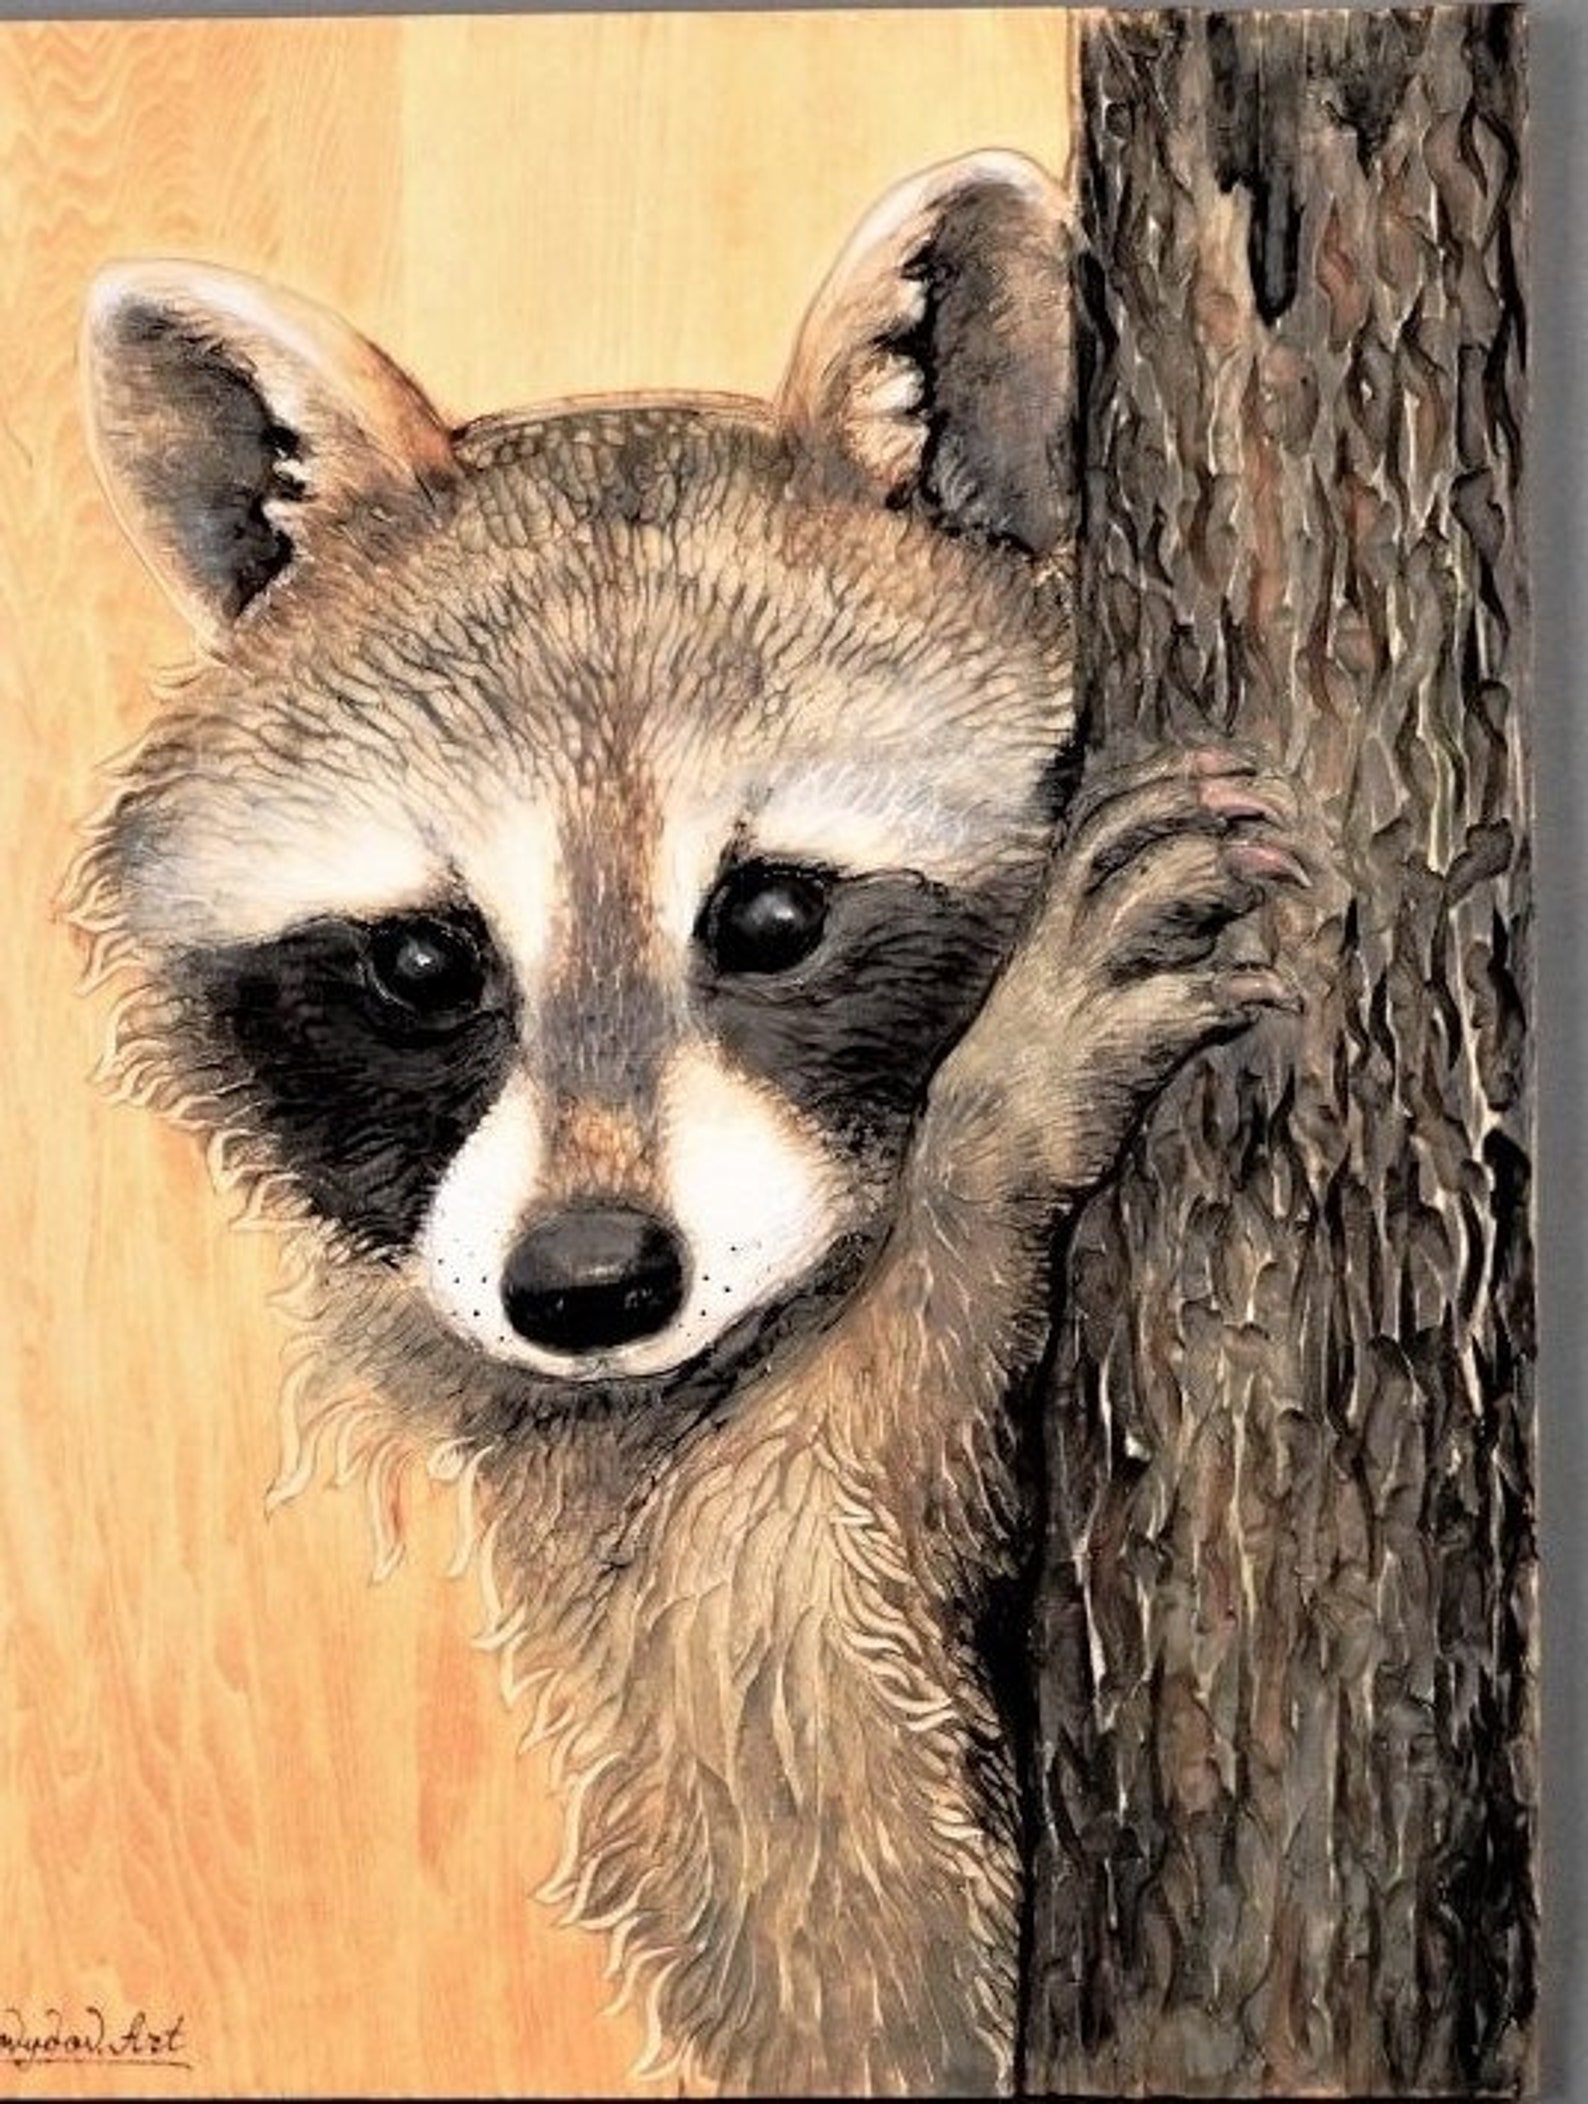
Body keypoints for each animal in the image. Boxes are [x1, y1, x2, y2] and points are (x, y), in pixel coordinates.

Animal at [68, 153, 1305, 2095]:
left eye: (774, 916)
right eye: (425, 962)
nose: (587, 1285)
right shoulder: (597, 1496)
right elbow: (812, 1770)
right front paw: (985, 1152)